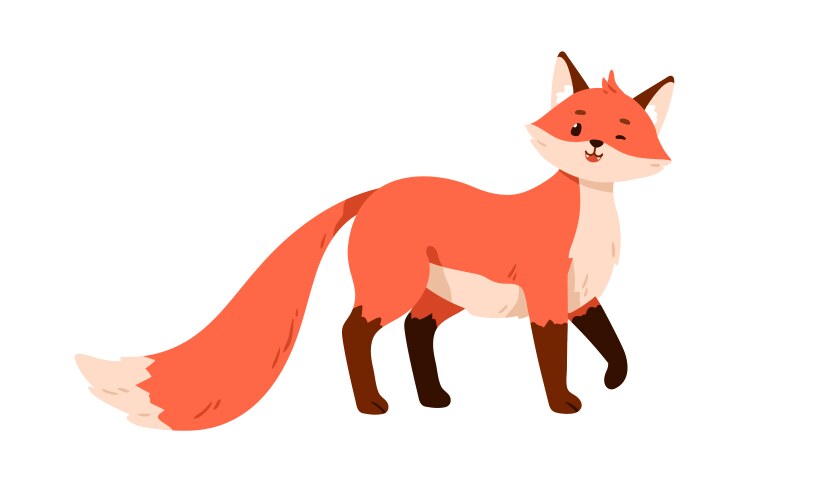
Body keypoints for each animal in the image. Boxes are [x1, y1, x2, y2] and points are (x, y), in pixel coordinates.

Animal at [76, 52, 675, 430]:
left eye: (622, 132)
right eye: (575, 127)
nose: (595, 146)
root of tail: (376, 193)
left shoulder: (581, 296)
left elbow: (612, 341)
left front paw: (616, 380)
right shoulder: (548, 298)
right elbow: (555, 359)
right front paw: (565, 404)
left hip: (439, 296)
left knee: (416, 329)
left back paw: (432, 399)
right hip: (394, 289)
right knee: (353, 331)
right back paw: (371, 403)